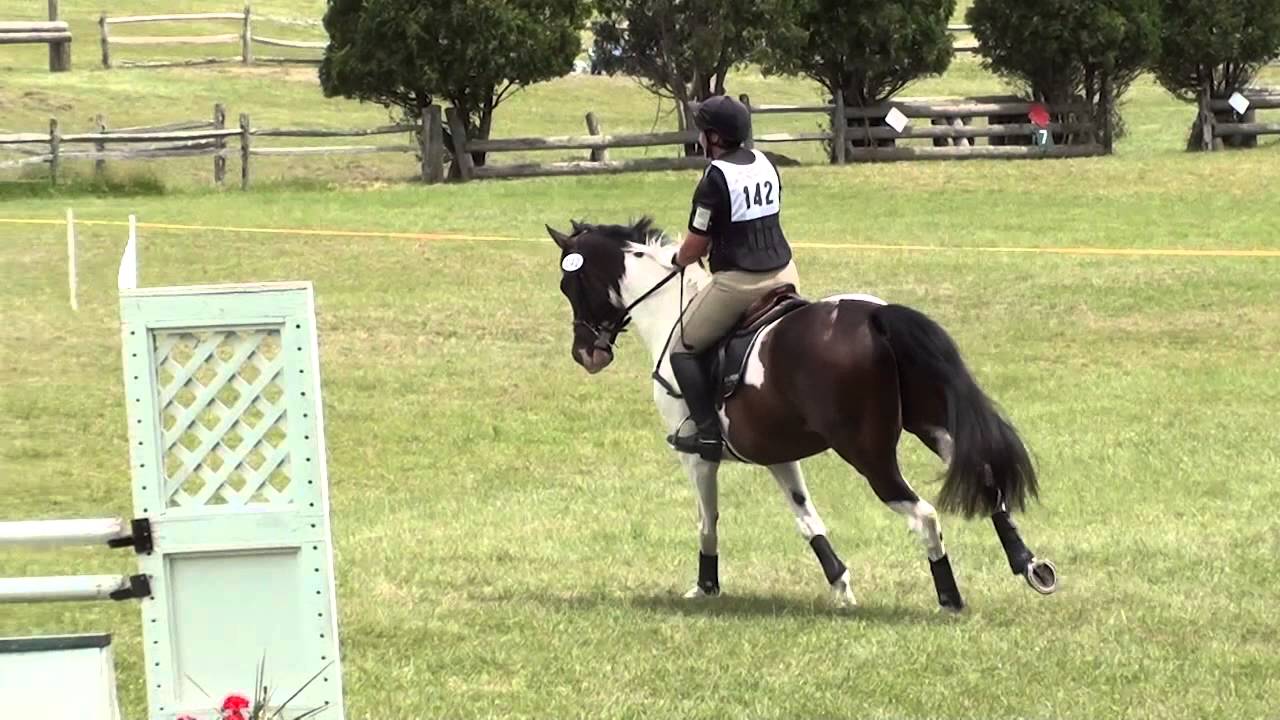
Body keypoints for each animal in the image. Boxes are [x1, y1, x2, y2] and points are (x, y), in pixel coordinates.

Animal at [546, 217, 1057, 611]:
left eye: (569, 285)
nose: (585, 354)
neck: (672, 310)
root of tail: (877, 316)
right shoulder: (777, 454)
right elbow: (806, 519)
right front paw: (841, 586)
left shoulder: (697, 458)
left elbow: (708, 521)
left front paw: (706, 586)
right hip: (931, 425)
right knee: (987, 480)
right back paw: (1030, 566)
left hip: (868, 453)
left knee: (925, 514)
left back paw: (949, 598)